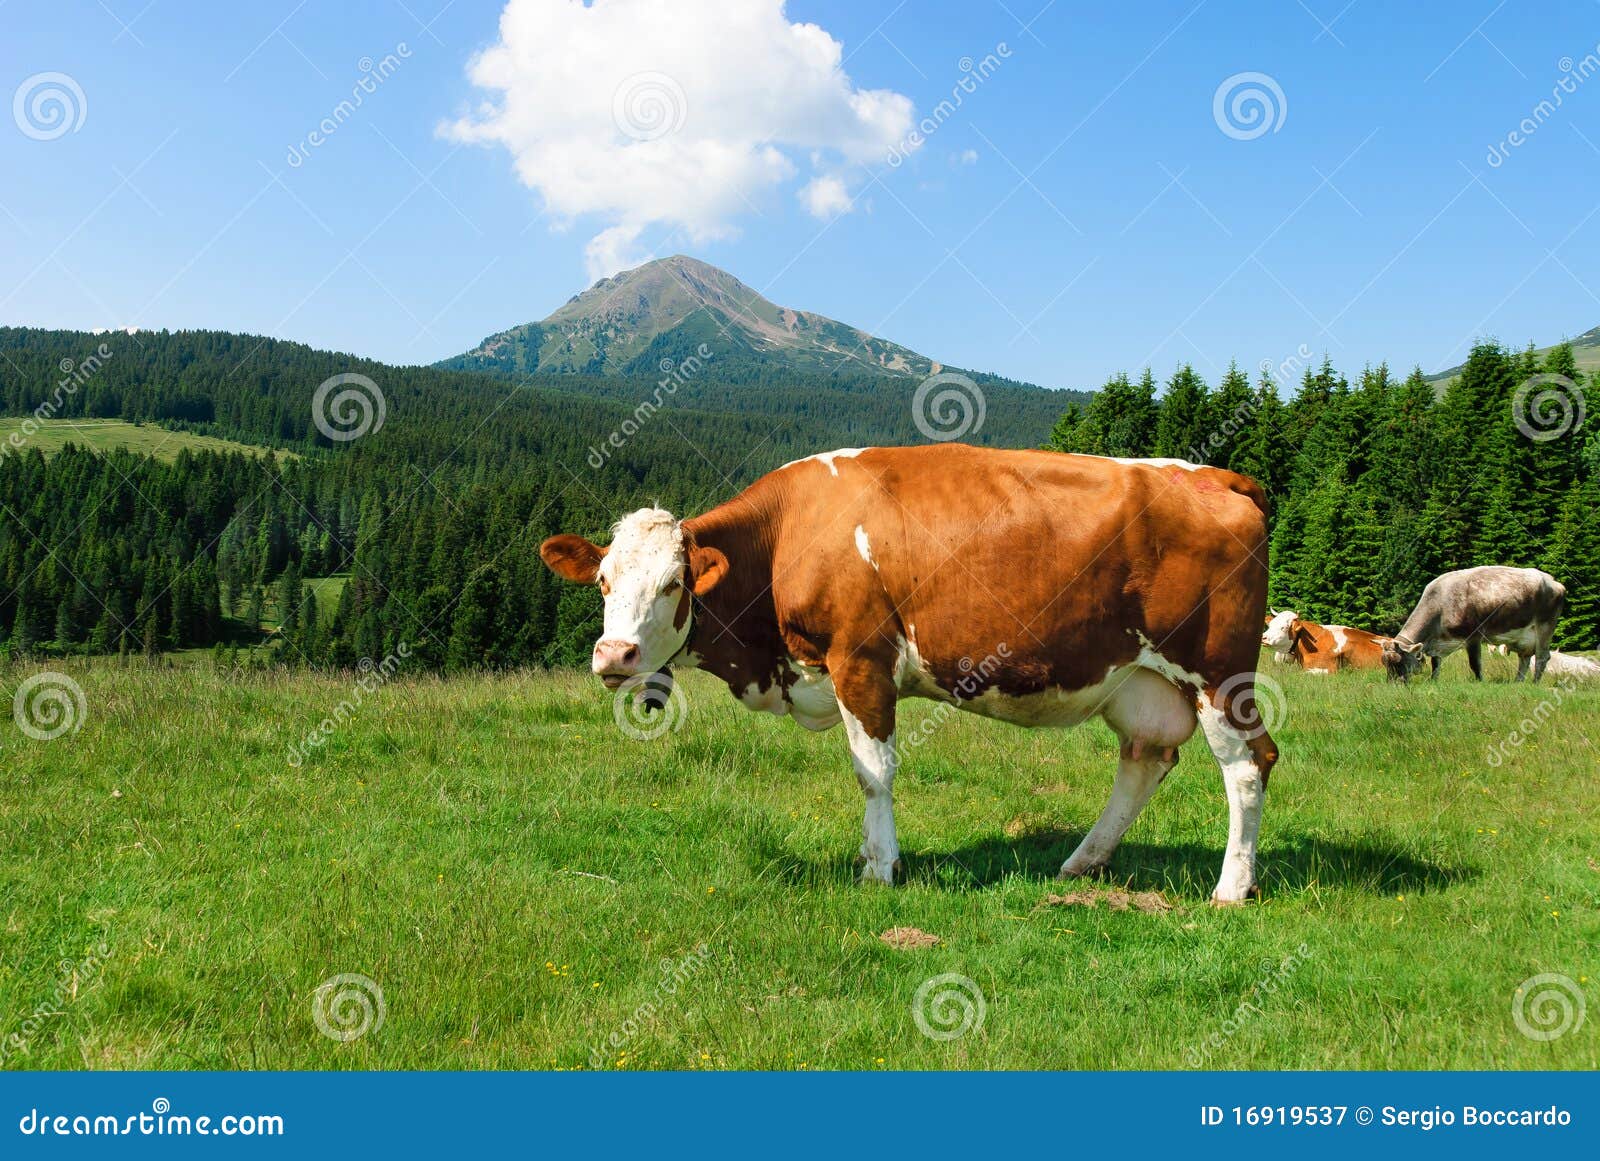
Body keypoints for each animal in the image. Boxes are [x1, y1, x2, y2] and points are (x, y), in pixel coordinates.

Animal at [540, 445, 1279, 905]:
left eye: (673, 584)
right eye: (603, 581)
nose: (613, 656)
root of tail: (1218, 476)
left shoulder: (859, 661)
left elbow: (874, 773)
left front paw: (880, 868)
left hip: (1217, 671)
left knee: (1248, 764)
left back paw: (1230, 887)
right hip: (1141, 680)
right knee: (1146, 759)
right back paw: (1082, 861)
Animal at [1383, 566, 1566, 682]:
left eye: (1400, 662)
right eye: (1385, 663)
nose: (1394, 684)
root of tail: (1552, 581)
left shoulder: (1474, 636)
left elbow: (1475, 664)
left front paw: (1480, 682)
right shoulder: (1439, 643)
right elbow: (1436, 664)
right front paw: (1433, 681)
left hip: (1545, 627)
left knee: (1542, 657)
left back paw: (1534, 683)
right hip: (1523, 638)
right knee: (1524, 659)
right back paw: (1518, 682)